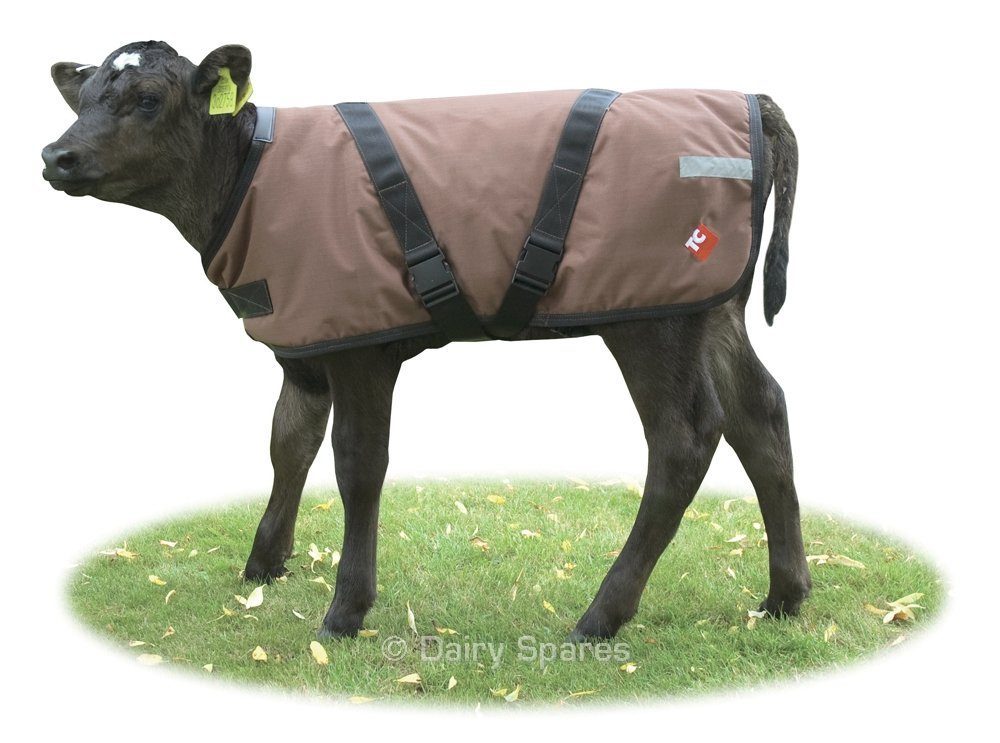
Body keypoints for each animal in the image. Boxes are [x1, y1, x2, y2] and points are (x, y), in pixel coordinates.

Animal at [41, 40, 810, 641]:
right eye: (84, 95)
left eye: (146, 97)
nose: (57, 154)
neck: (245, 181)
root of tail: (746, 99)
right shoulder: (303, 341)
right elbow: (288, 441)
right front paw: (264, 564)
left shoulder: (359, 343)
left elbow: (357, 463)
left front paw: (346, 610)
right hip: (712, 309)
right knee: (762, 412)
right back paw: (785, 595)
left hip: (654, 316)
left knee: (685, 438)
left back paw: (601, 616)